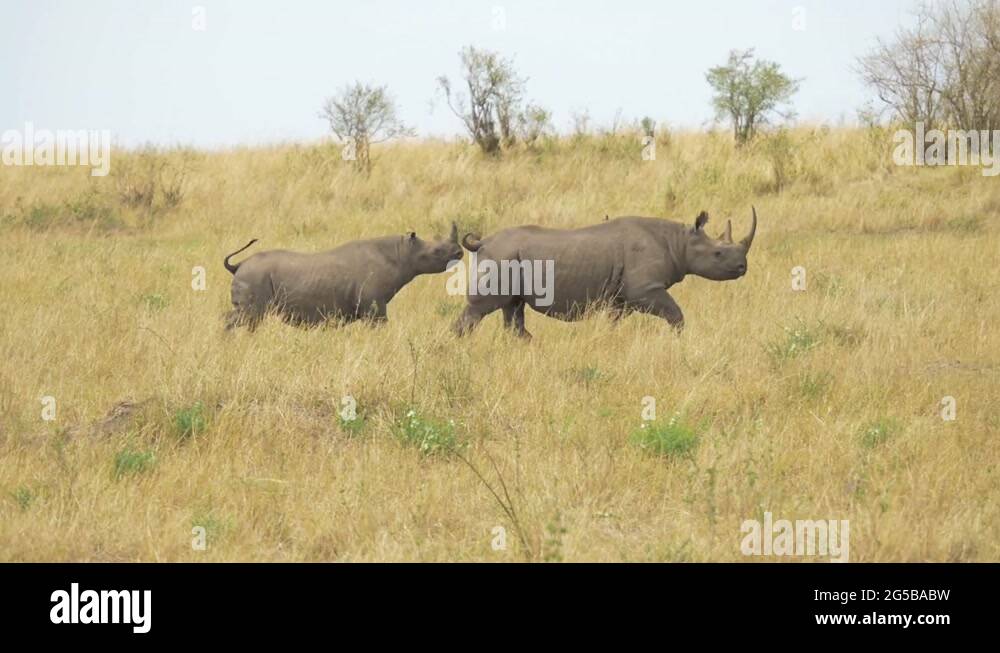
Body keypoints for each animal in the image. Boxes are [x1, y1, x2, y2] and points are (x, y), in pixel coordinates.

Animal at [224, 224, 463, 331]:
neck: (402, 253)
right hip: (255, 277)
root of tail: (238, 265)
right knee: (248, 316)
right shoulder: (375, 305)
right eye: (437, 252)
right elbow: (380, 324)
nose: (459, 253)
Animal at [453, 208, 757, 338]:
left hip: (509, 260)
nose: (743, 268)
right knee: (482, 309)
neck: (679, 242)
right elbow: (676, 315)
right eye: (718, 254)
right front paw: (679, 340)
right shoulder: (645, 289)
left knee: (513, 308)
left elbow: (613, 321)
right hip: (501, 258)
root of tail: (483, 242)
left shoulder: (620, 297)